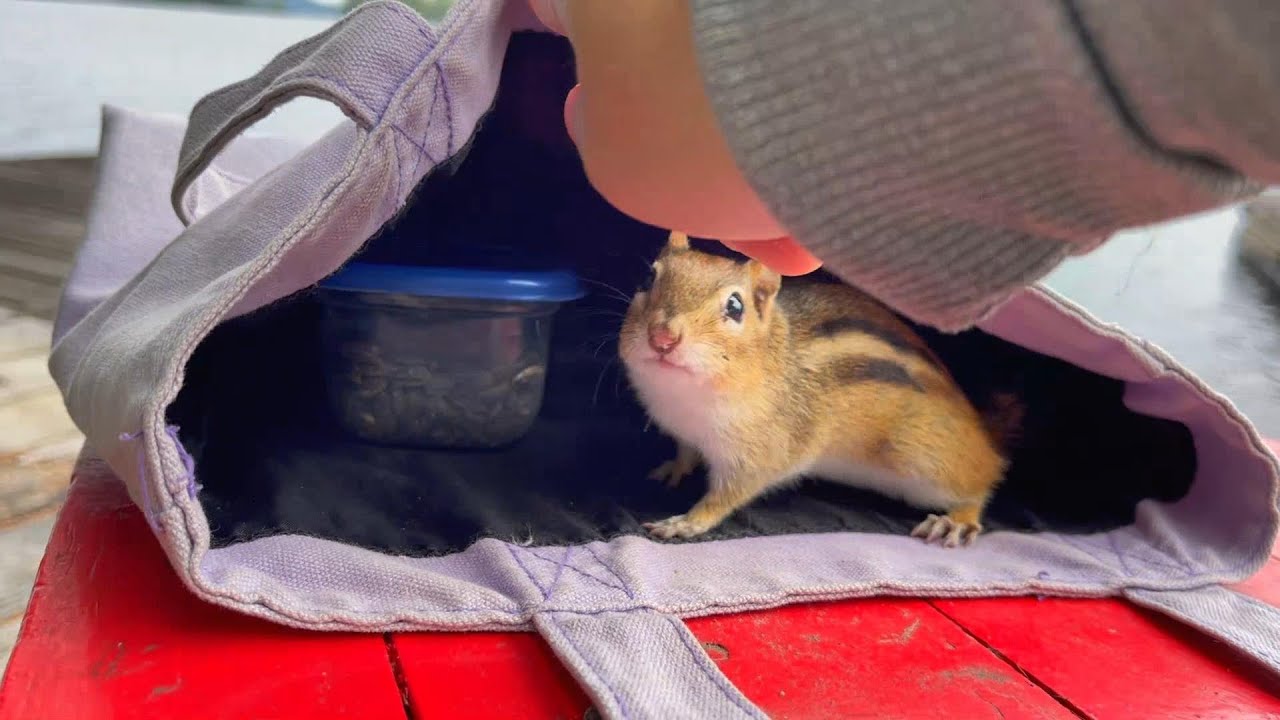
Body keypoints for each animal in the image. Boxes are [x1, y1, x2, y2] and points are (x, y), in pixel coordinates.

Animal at [620, 231, 1021, 547]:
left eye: (735, 306)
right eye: (647, 278)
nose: (663, 337)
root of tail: (983, 432)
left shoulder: (763, 453)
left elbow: (725, 497)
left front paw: (685, 523)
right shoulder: (685, 433)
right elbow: (686, 452)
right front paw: (672, 469)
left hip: (923, 459)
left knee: (981, 483)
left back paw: (955, 520)